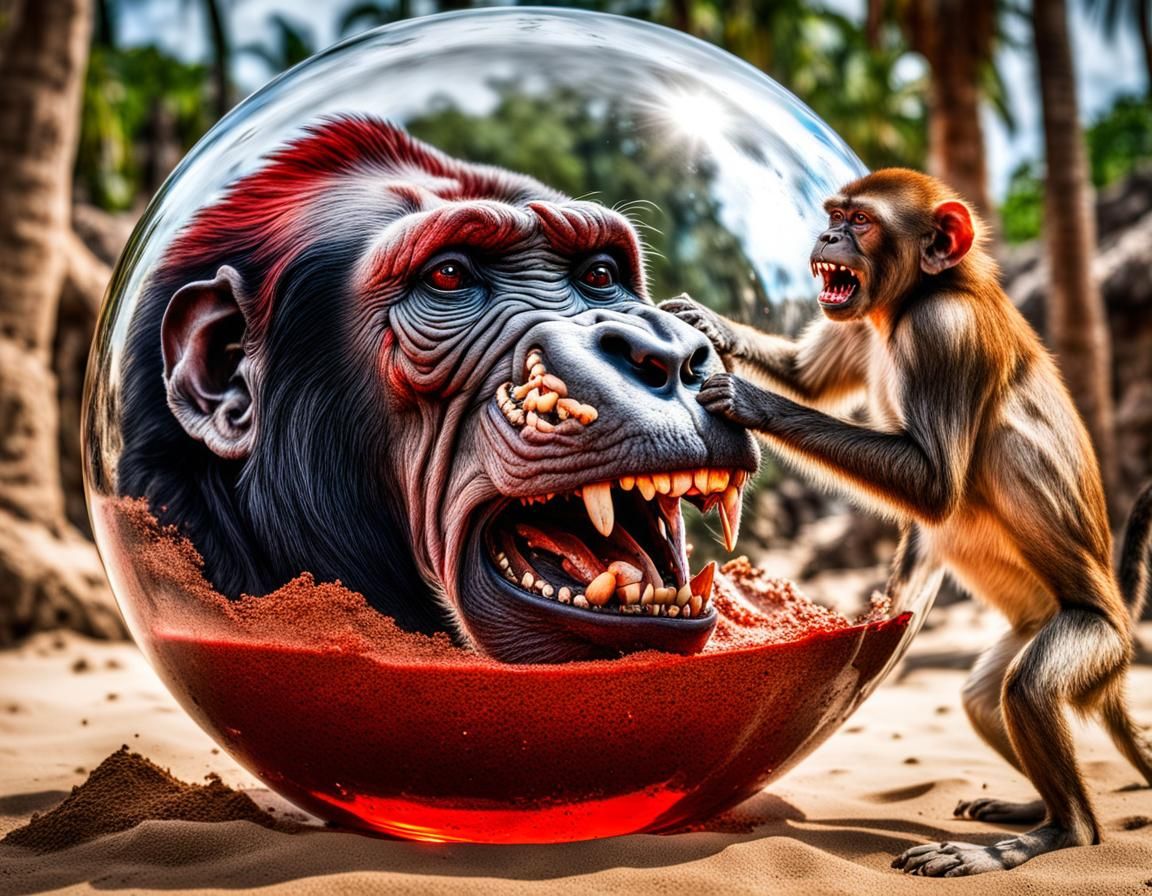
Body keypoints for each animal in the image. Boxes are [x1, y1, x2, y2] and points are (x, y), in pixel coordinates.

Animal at [661, 168, 1152, 876]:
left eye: (861, 221)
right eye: (833, 214)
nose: (828, 236)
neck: (918, 296)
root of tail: (1117, 622)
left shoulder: (944, 331)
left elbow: (935, 485)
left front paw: (746, 398)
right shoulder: (865, 322)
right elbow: (806, 380)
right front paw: (707, 323)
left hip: (1095, 638)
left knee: (1029, 688)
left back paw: (1058, 832)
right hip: (1037, 625)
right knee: (985, 696)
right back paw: (1032, 807)